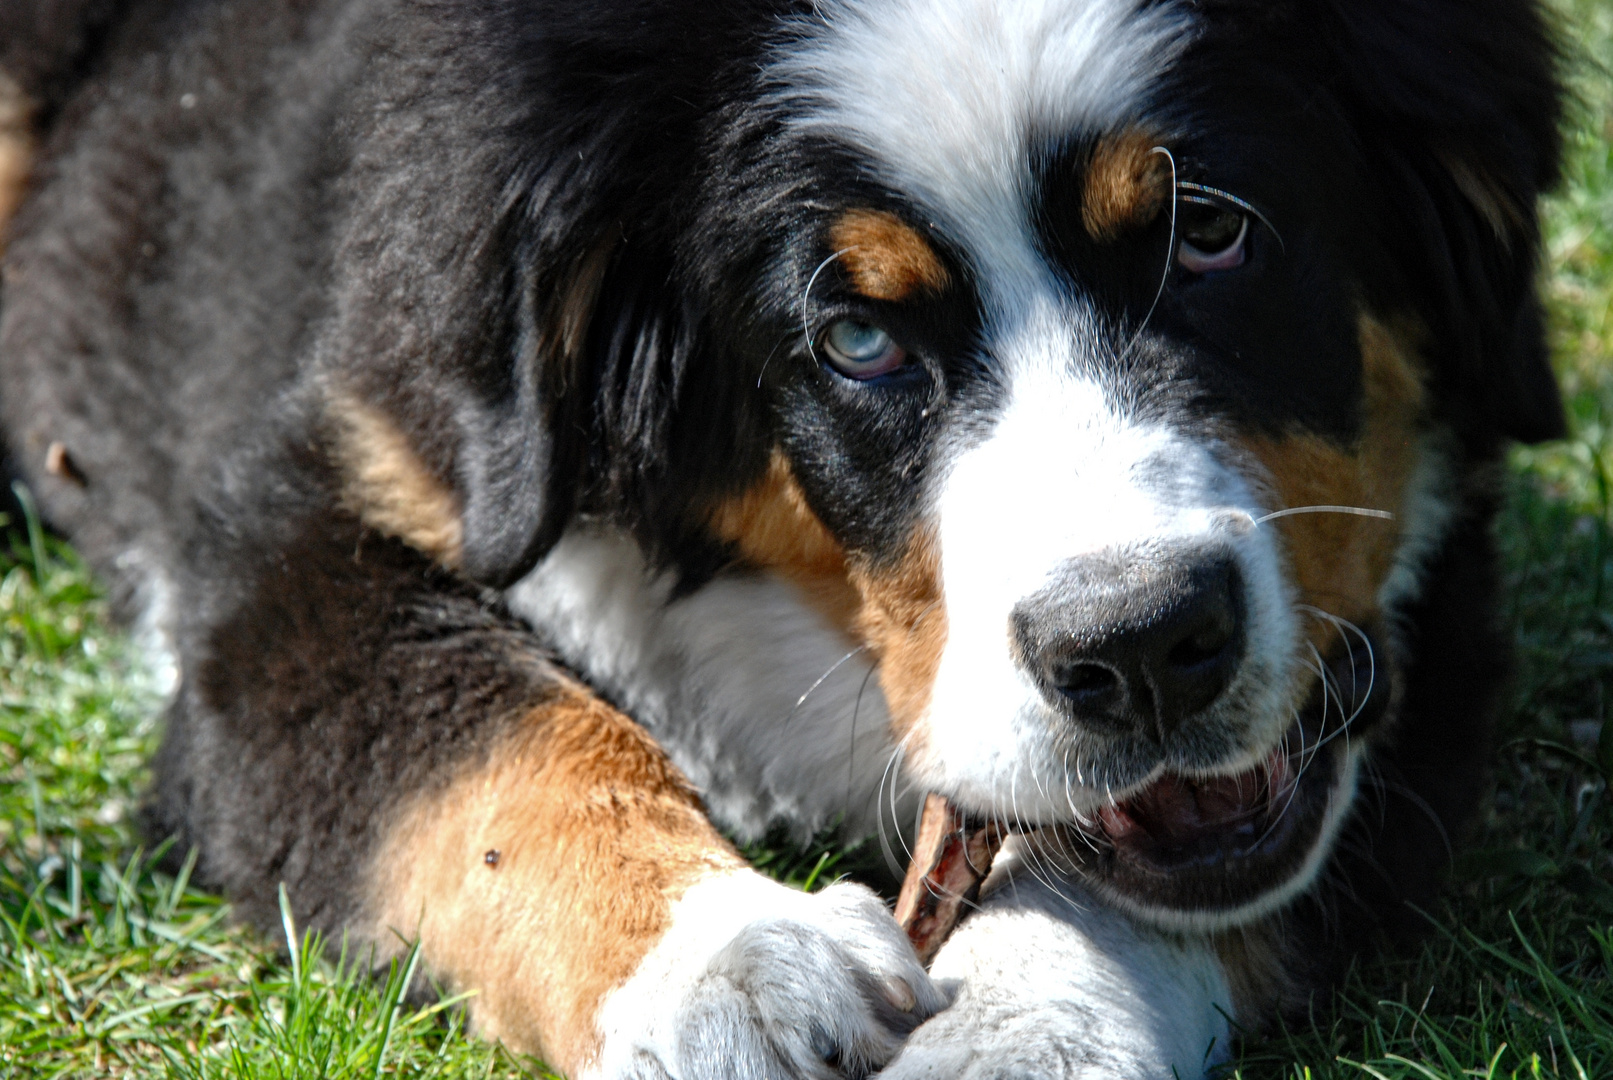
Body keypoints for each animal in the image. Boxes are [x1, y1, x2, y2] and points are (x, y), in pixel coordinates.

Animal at [0, 0, 1567, 1076]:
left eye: (1213, 235)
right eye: (858, 339)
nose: (1138, 646)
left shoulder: (1411, 628)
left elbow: (1115, 867)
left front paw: (1018, 1028)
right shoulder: (323, 510)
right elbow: (488, 746)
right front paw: (721, 964)